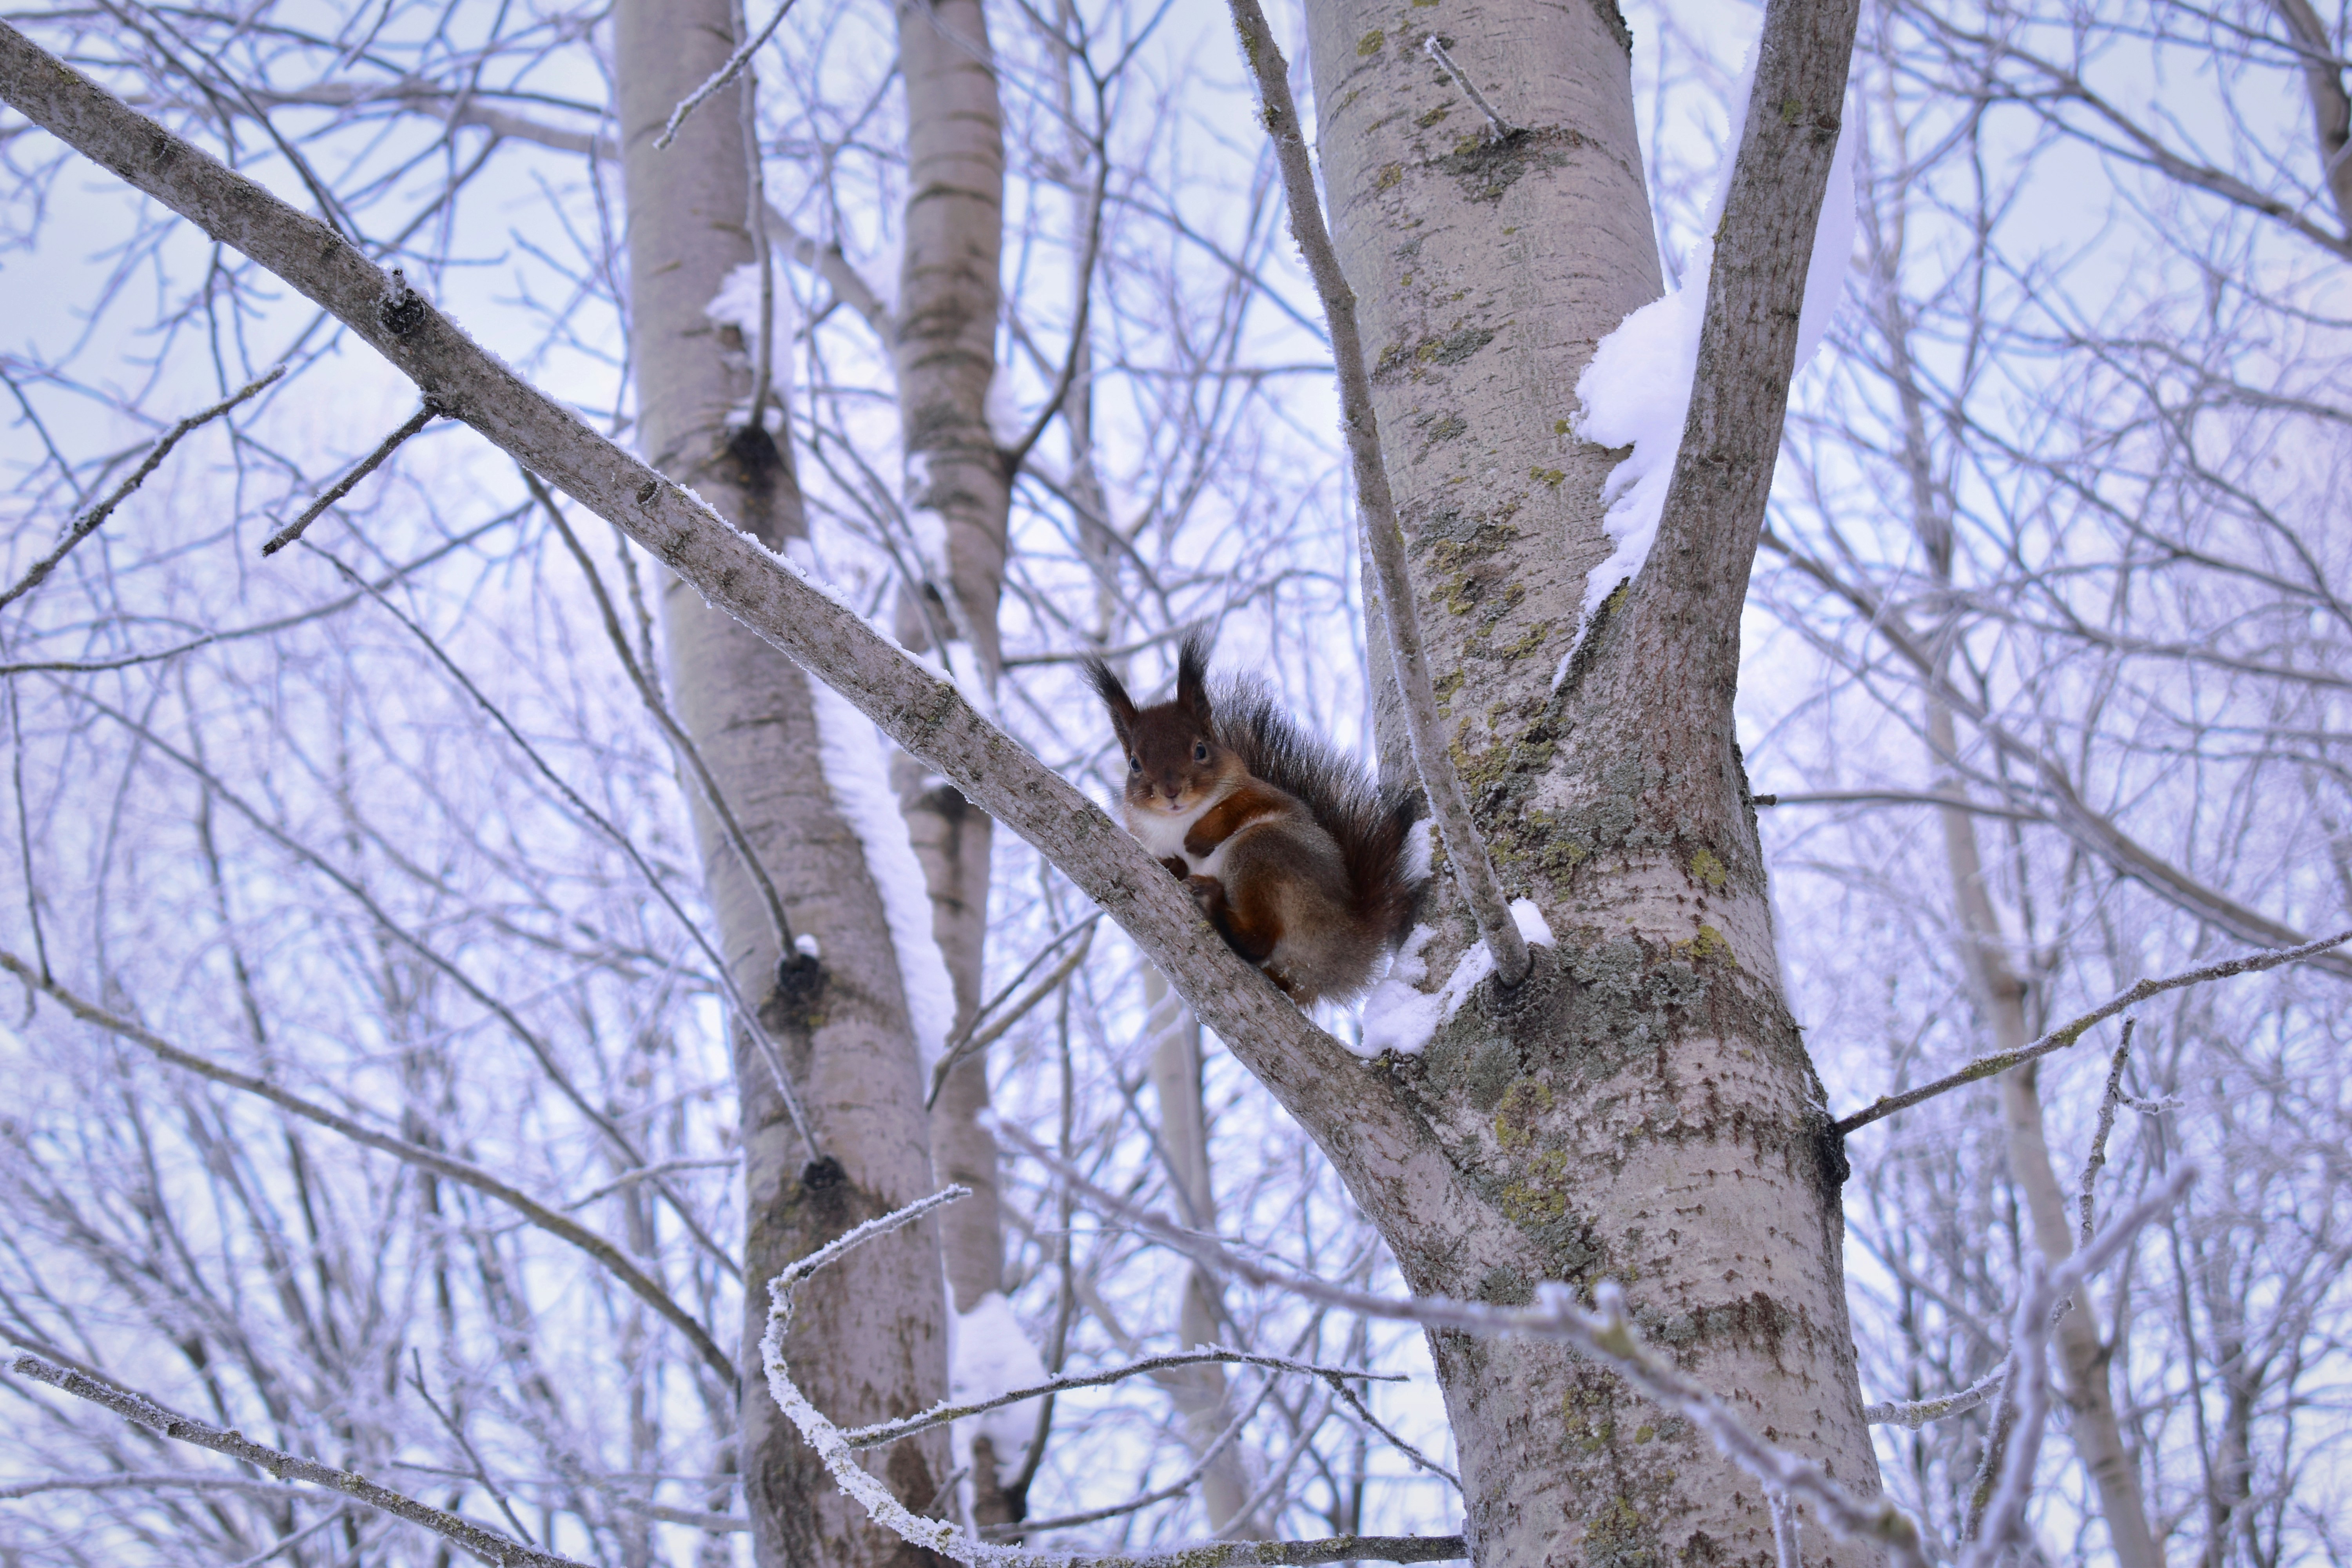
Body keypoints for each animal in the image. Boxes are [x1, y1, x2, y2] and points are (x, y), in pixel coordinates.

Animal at [1084, 630, 1428, 1004]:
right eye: (1134, 763)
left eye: (1201, 749)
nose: (1172, 791)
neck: (1178, 820)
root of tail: (1349, 950)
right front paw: (1173, 865)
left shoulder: (1266, 796)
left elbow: (1234, 807)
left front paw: (1198, 838)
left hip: (1261, 851)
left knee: (1260, 938)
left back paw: (1213, 901)